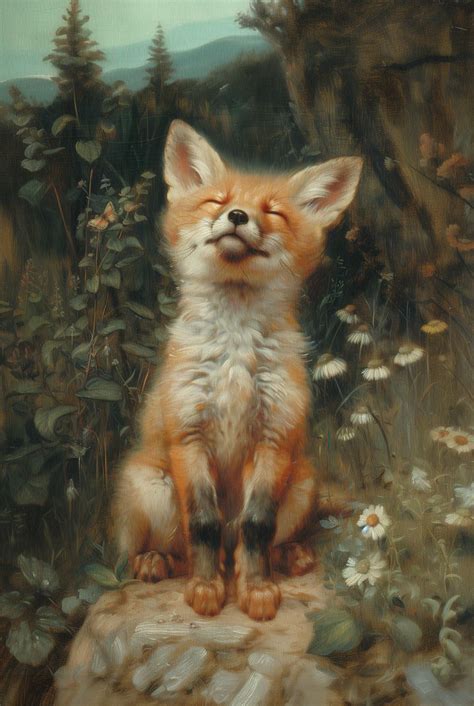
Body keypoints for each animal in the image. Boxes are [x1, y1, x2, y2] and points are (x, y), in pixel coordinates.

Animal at [112, 120, 362, 621]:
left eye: (274, 212)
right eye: (217, 201)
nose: (238, 216)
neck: (234, 354)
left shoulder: (272, 439)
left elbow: (256, 527)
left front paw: (257, 591)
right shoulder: (189, 437)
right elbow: (204, 525)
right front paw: (208, 590)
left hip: (302, 481)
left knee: (256, 539)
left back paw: (286, 556)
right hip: (150, 484)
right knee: (168, 549)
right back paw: (158, 561)